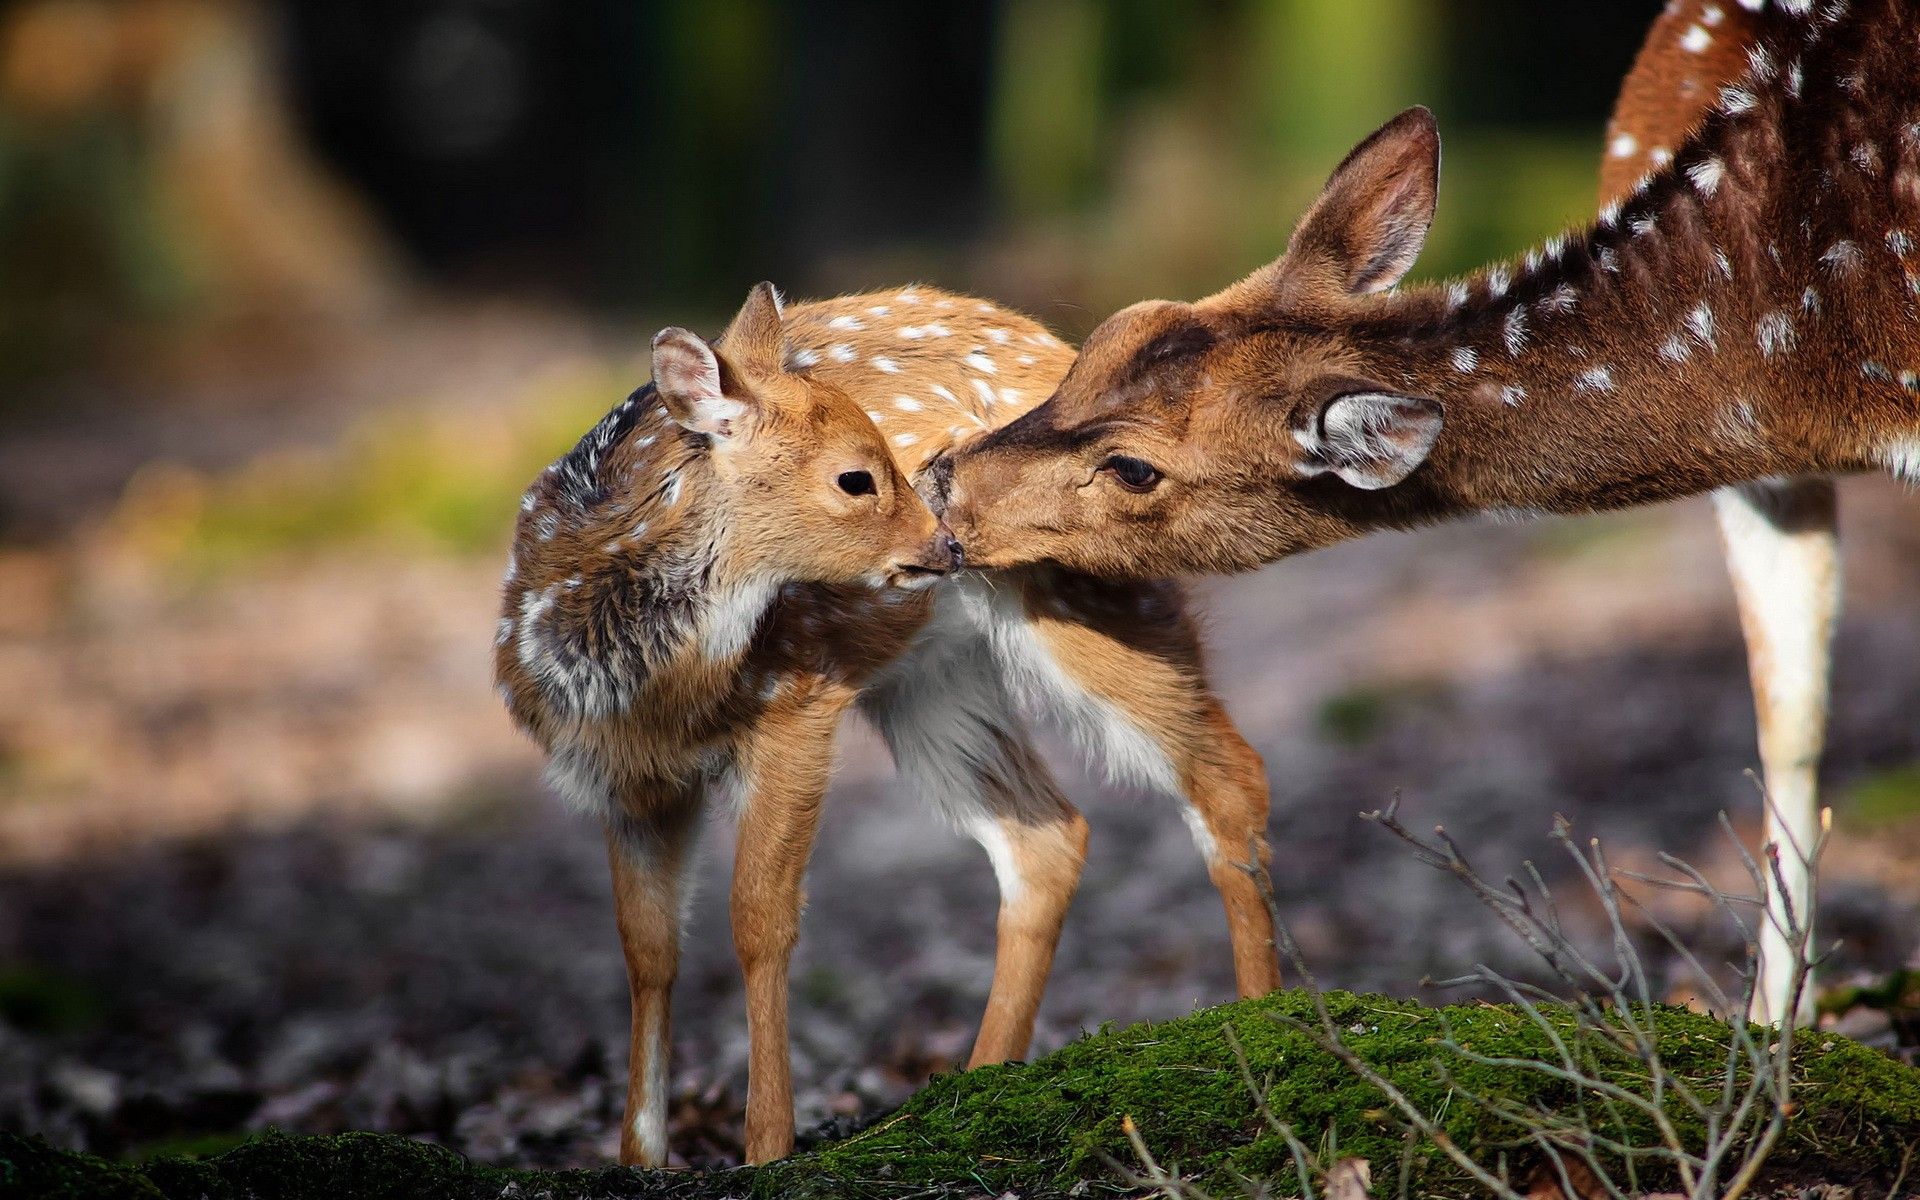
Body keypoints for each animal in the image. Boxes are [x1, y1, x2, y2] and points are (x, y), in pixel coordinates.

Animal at [496, 283, 1276, 1167]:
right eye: (856, 478)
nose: (945, 538)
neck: (651, 687)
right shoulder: (625, 782)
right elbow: (646, 948)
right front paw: (641, 1157)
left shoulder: (796, 700)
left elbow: (759, 919)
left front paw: (767, 1145)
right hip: (931, 683)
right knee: (1047, 834)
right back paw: (982, 1079)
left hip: (1095, 596)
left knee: (1229, 775)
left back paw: (1262, 1029)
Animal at [939, 0, 1920, 1029]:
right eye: (1107, 335)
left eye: (1134, 468)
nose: (940, 475)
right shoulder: (1762, 467)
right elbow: (1790, 721)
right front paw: (1772, 1031)